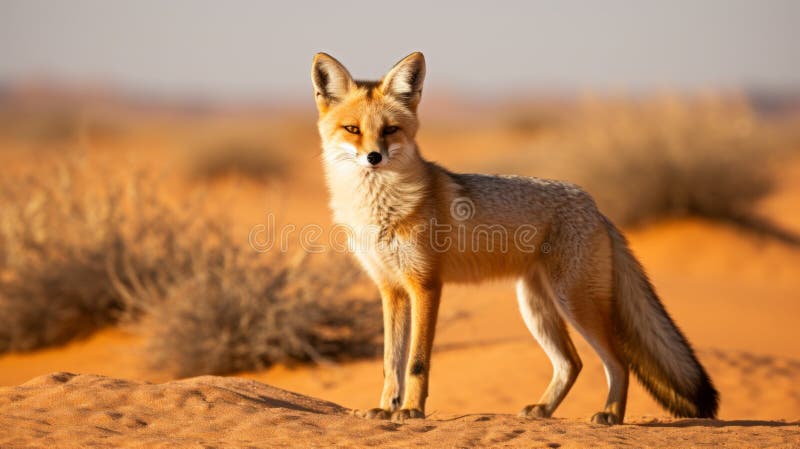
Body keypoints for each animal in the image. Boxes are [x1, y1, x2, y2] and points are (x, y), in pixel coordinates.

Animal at [310, 51, 719, 425]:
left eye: (390, 130)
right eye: (352, 130)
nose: (373, 157)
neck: (379, 209)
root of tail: (595, 207)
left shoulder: (425, 284)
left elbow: (416, 362)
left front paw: (411, 410)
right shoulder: (391, 289)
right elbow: (389, 362)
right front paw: (385, 408)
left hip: (575, 302)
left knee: (618, 362)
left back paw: (610, 415)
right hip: (536, 306)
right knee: (572, 363)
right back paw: (543, 410)